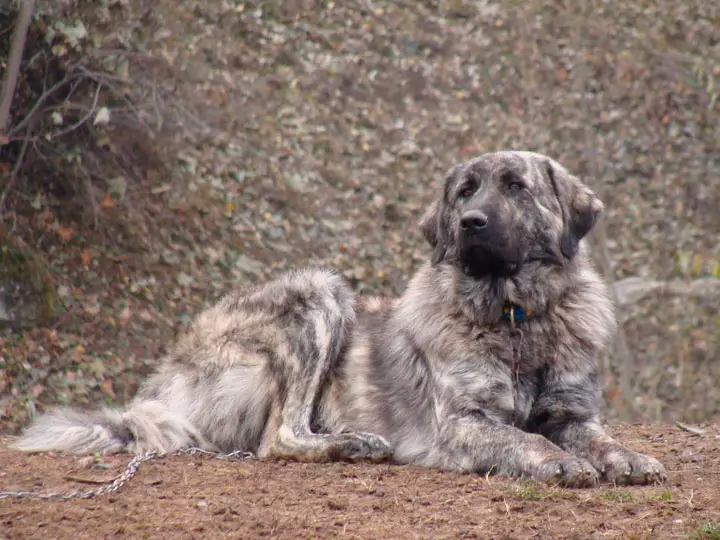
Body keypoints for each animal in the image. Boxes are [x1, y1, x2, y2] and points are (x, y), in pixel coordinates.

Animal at [11, 150, 668, 488]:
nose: (471, 223)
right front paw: (560, 461)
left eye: (516, 187)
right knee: (278, 439)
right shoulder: (462, 422)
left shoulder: (571, 412)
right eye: (465, 191)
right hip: (319, 292)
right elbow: (522, 436)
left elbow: (597, 434)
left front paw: (625, 457)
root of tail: (163, 378)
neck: (515, 315)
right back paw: (353, 444)